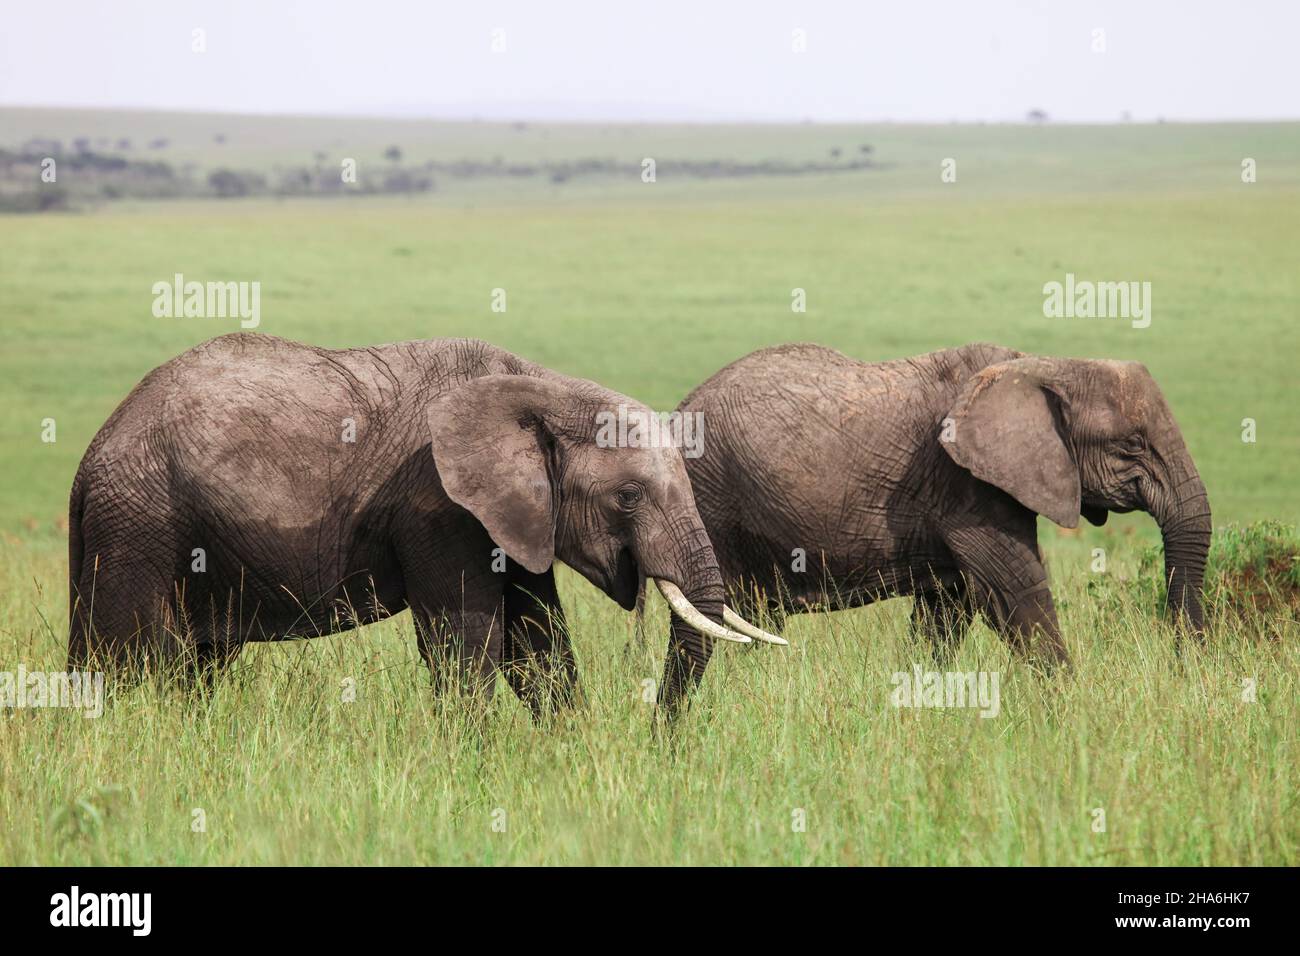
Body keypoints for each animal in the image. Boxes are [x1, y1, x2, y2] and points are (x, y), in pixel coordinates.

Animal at [67, 333, 782, 717]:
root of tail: (92, 453)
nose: (656, 736)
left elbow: (538, 643)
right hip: (140, 521)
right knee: (125, 658)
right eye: (629, 496)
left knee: (183, 663)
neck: (541, 389)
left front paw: (571, 757)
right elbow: (466, 643)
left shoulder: (511, 517)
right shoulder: (439, 507)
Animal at [670, 342, 1212, 668]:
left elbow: (948, 608)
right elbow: (1014, 590)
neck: (1043, 364)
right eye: (1133, 445)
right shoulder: (966, 486)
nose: (1183, 667)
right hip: (712, 499)